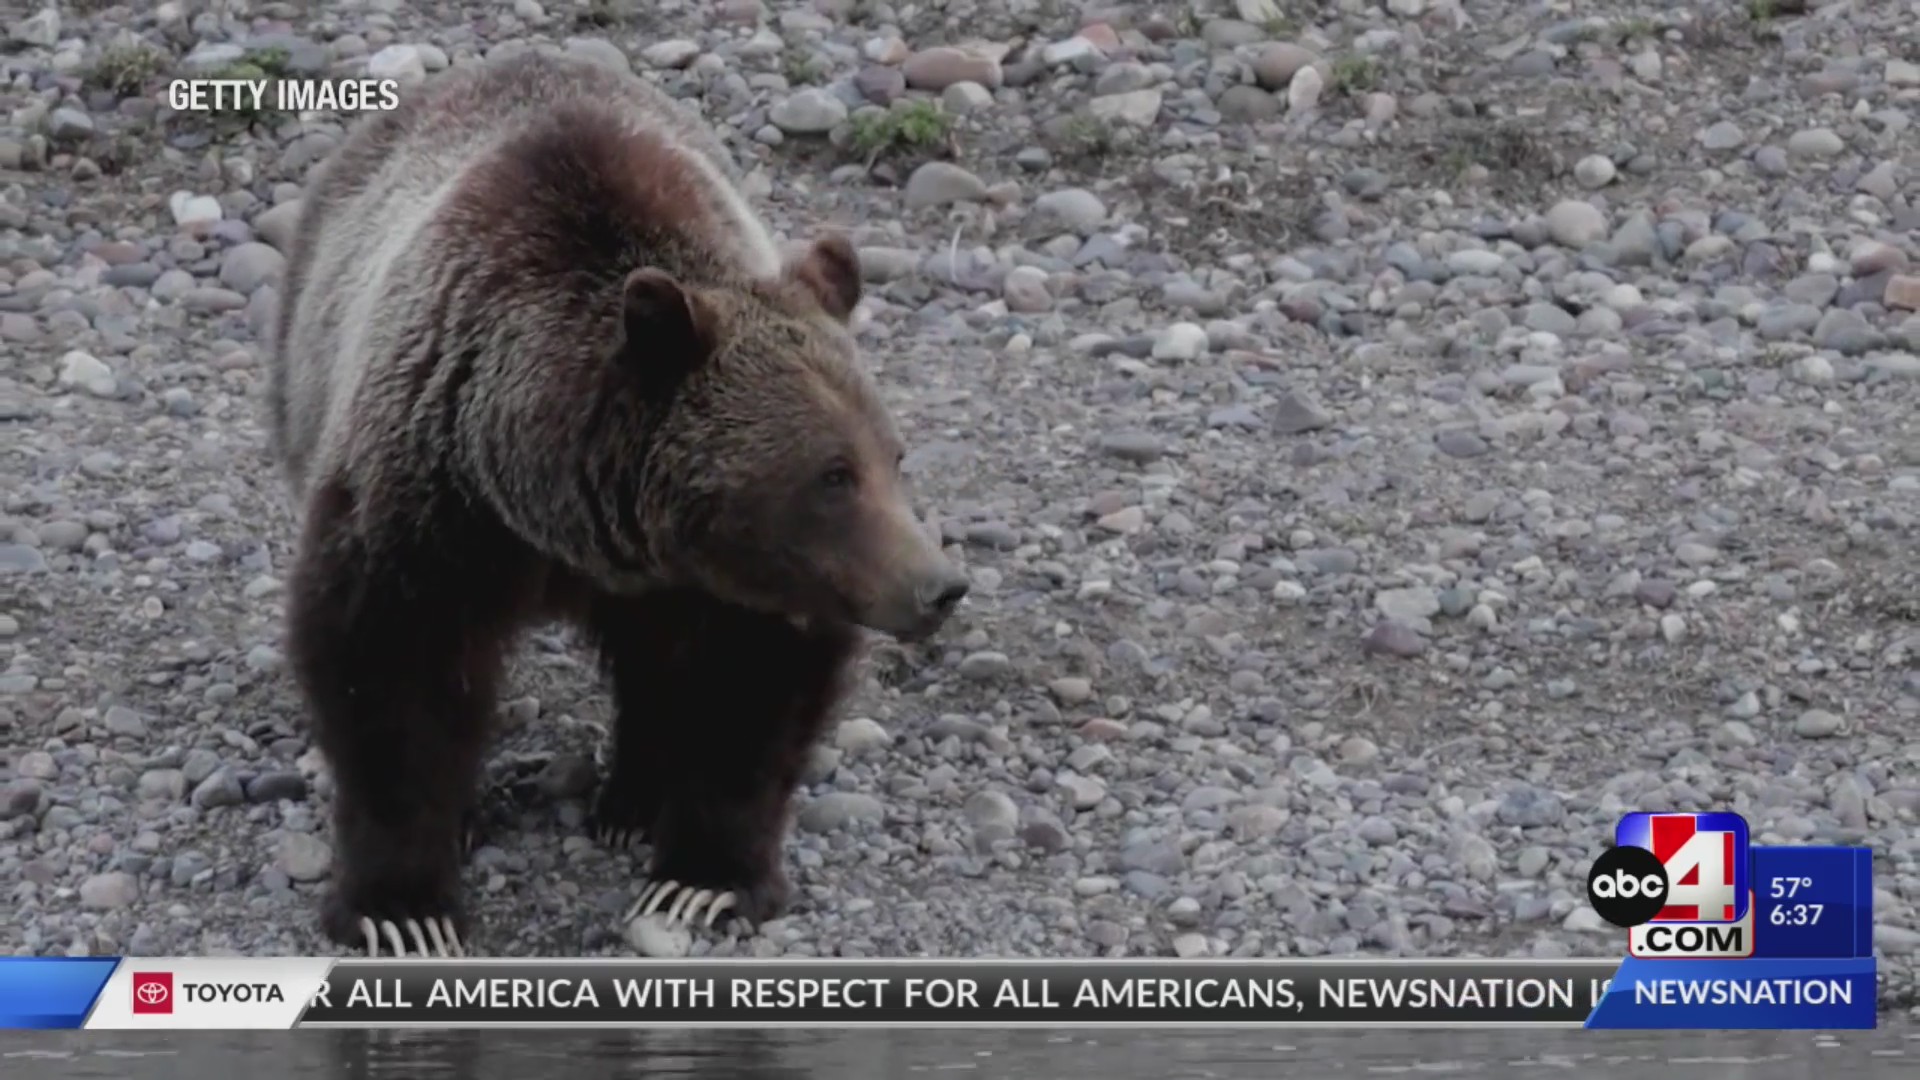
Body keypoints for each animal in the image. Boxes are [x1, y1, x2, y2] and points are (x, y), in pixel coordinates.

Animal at [266, 51, 970, 958]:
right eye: (833, 474)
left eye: (893, 456)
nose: (938, 586)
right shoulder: (427, 502)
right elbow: (388, 674)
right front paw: (403, 905)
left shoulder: (744, 586)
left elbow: (751, 695)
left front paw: (701, 880)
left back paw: (633, 800)